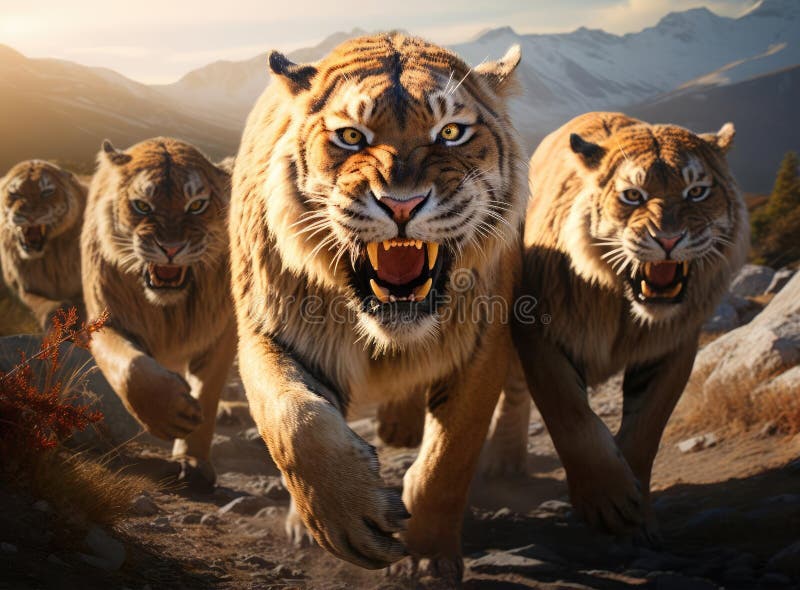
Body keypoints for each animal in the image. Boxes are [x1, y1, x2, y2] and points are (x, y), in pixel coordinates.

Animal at [81, 138, 236, 488]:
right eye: (142, 206)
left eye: (196, 205)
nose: (171, 248)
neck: (169, 309)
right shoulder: (105, 319)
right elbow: (132, 368)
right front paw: (170, 417)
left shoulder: (221, 331)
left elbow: (208, 392)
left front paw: (193, 462)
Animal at [229, 33, 525, 580]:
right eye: (351, 136)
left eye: (450, 132)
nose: (402, 204)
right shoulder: (268, 330)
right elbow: (294, 420)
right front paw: (344, 520)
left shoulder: (482, 345)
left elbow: (447, 459)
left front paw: (426, 558)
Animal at [512, 112, 748, 539]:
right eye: (633, 196)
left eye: (696, 191)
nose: (668, 239)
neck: (626, 311)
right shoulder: (539, 334)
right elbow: (570, 417)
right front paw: (606, 502)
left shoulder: (673, 347)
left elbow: (644, 431)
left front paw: (639, 519)